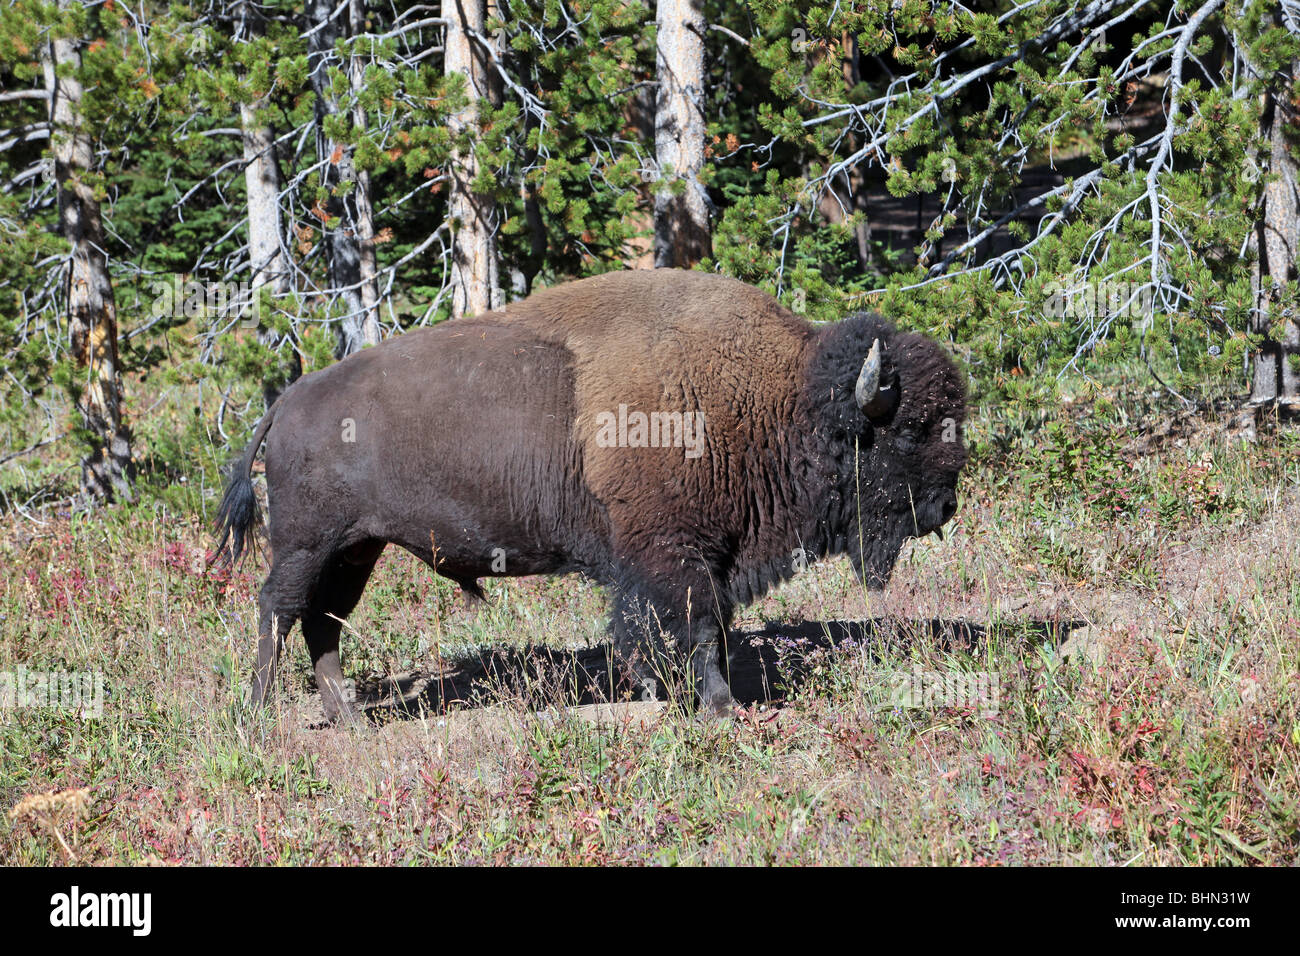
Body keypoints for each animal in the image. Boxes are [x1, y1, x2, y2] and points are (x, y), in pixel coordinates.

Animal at [211, 269, 968, 721]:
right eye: (911, 427)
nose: (945, 507)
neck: (779, 397)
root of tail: (286, 403)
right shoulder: (673, 557)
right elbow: (691, 629)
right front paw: (717, 708)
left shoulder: (704, 558)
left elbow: (700, 629)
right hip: (309, 544)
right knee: (279, 609)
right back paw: (259, 715)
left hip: (356, 548)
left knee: (324, 620)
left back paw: (350, 719)